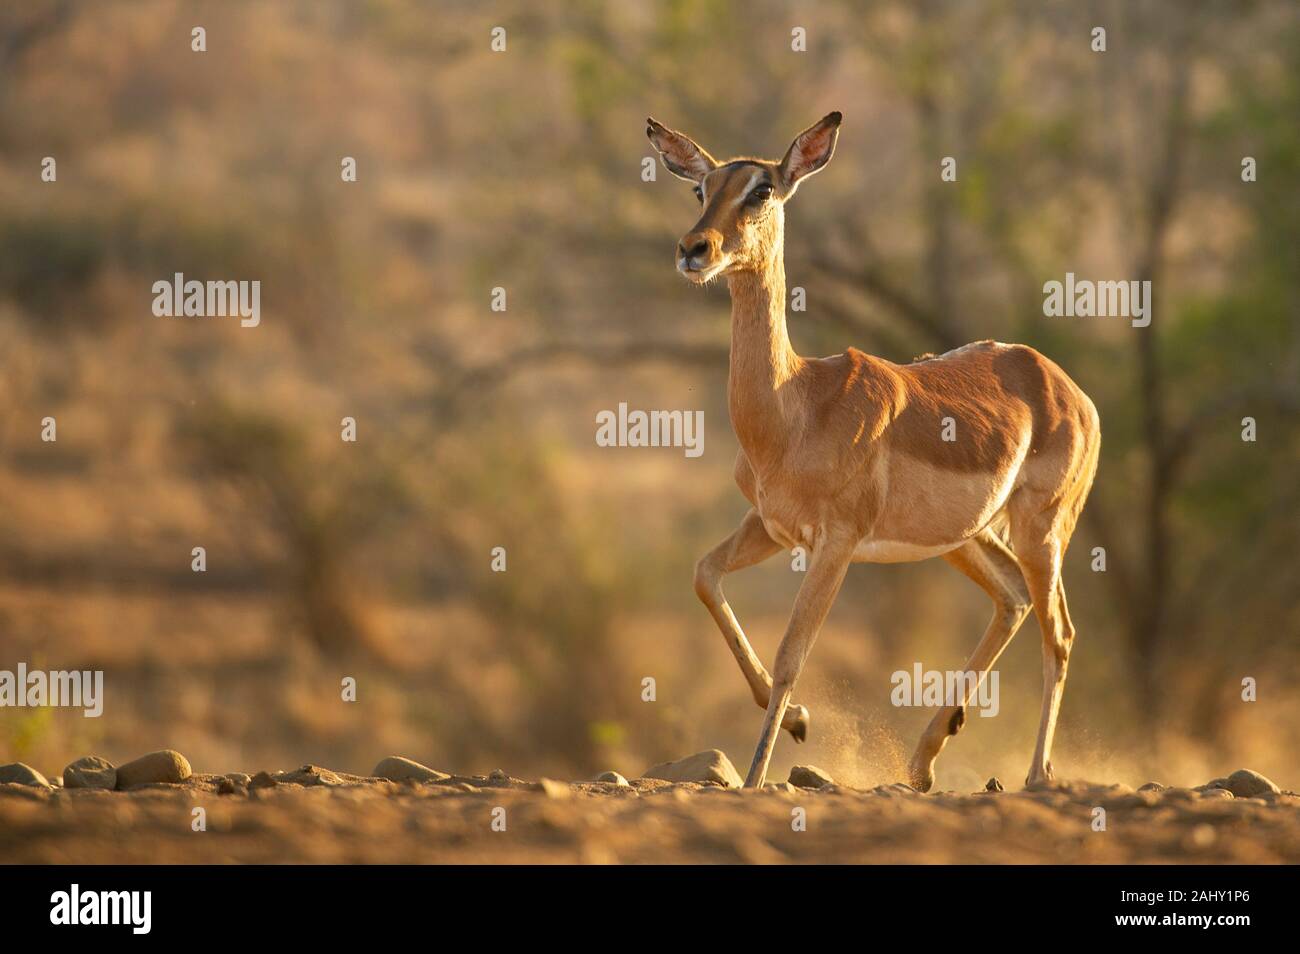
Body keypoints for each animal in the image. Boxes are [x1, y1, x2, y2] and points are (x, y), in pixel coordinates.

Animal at [647, 112, 1101, 790]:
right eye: (701, 189)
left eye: (762, 189)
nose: (693, 250)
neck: (794, 405)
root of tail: (1064, 385)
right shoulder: (770, 526)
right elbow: (705, 575)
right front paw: (800, 722)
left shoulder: (835, 544)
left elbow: (791, 654)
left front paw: (758, 773)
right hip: (965, 539)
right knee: (1013, 599)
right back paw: (925, 759)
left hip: (1042, 530)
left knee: (1060, 633)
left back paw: (1036, 774)